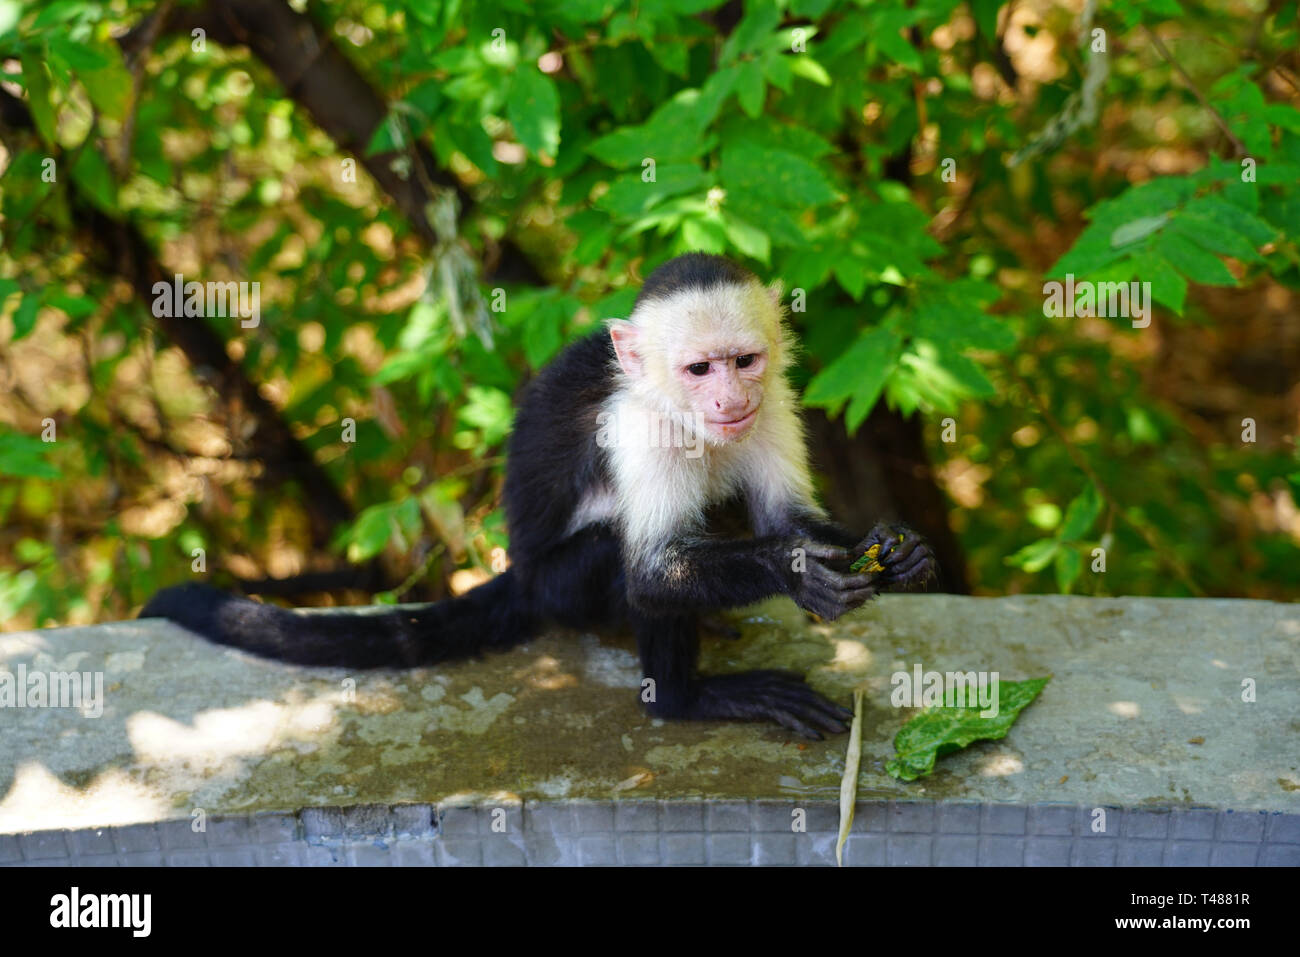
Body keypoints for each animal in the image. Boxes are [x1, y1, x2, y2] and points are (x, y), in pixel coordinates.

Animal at [141, 253, 935, 739]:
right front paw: (795, 569)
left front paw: (894, 548)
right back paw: (686, 701)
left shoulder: (775, 405)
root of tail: (522, 574)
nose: (730, 398)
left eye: (744, 362)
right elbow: (652, 572)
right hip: (560, 588)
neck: (673, 406)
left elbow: (783, 515)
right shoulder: (637, 428)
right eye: (699, 369)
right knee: (619, 560)